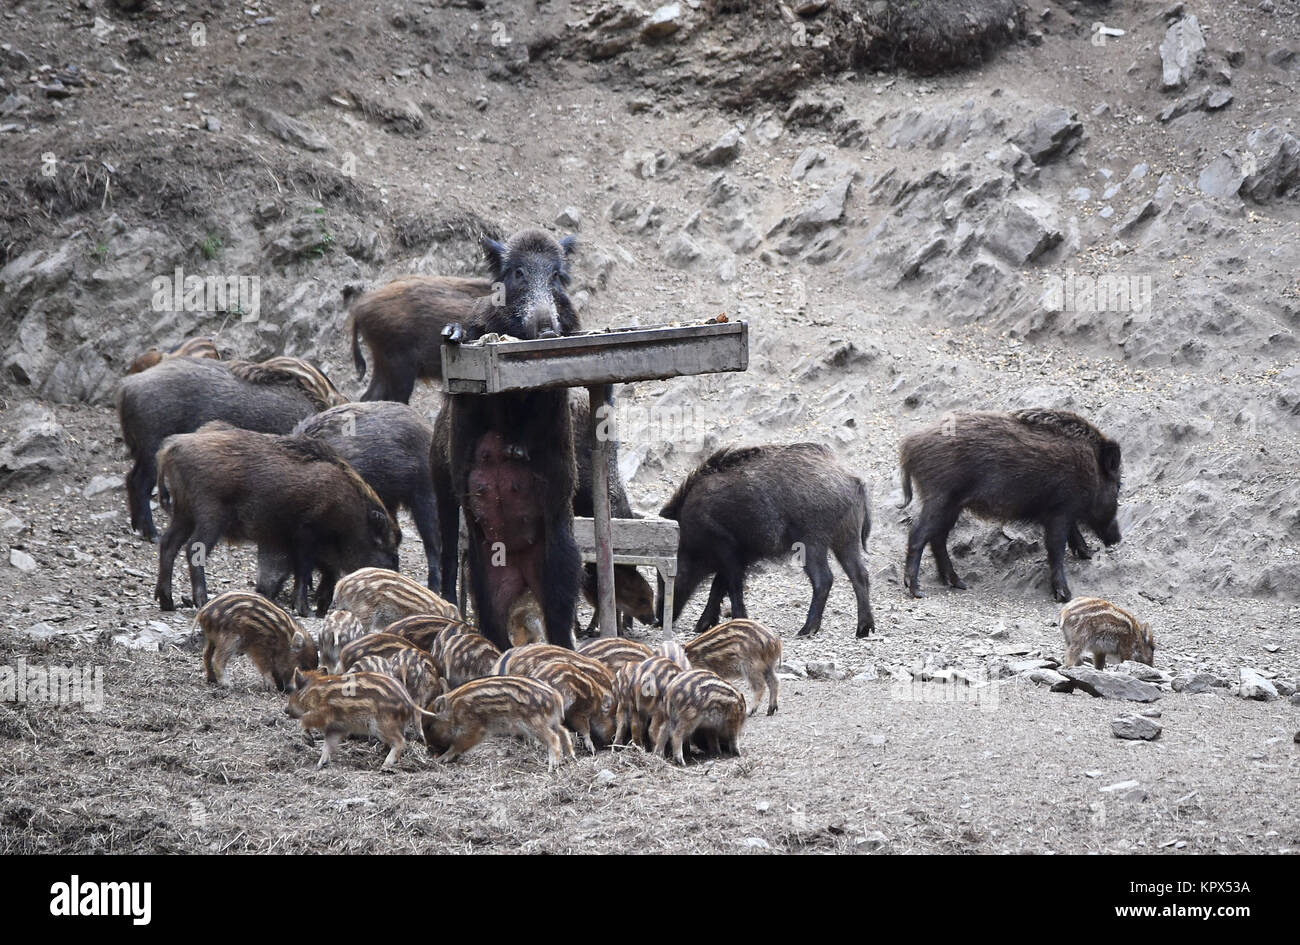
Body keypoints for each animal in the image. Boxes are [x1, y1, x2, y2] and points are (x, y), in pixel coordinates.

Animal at [153, 425, 400, 615]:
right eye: (388, 552)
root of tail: (172, 447)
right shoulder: (307, 533)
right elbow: (304, 569)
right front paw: (305, 610)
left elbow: (325, 572)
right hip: (210, 513)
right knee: (193, 548)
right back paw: (202, 600)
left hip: (183, 512)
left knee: (168, 543)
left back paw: (168, 602)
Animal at [286, 668, 436, 769]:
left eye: (292, 690)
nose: (285, 710)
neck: (311, 692)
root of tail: (408, 699)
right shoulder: (336, 728)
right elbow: (328, 745)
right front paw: (319, 765)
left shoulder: (322, 714)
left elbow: (303, 720)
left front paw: (309, 741)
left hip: (382, 725)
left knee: (401, 742)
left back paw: (385, 765)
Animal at [421, 675, 572, 770]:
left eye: (429, 726)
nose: (429, 750)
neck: (454, 709)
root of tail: (556, 696)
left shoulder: (473, 728)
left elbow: (458, 744)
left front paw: (442, 759)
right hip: (549, 721)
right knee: (563, 731)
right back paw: (570, 756)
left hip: (535, 723)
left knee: (553, 738)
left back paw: (553, 766)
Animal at [659, 443, 875, 637]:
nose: (657, 620)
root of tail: (853, 481)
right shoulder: (741, 556)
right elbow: (719, 586)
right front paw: (701, 626)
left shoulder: (727, 549)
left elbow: (731, 585)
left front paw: (735, 621)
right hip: (846, 539)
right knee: (860, 574)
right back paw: (863, 630)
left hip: (813, 540)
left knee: (825, 579)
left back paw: (805, 631)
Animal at [899, 409, 1123, 602]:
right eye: (1118, 487)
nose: (1117, 538)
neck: (1092, 472)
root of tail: (909, 445)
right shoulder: (1060, 510)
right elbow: (1056, 547)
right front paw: (1064, 596)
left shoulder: (1059, 512)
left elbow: (1073, 534)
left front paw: (1088, 554)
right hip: (940, 498)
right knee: (917, 533)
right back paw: (917, 591)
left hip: (951, 506)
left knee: (937, 538)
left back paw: (959, 583)